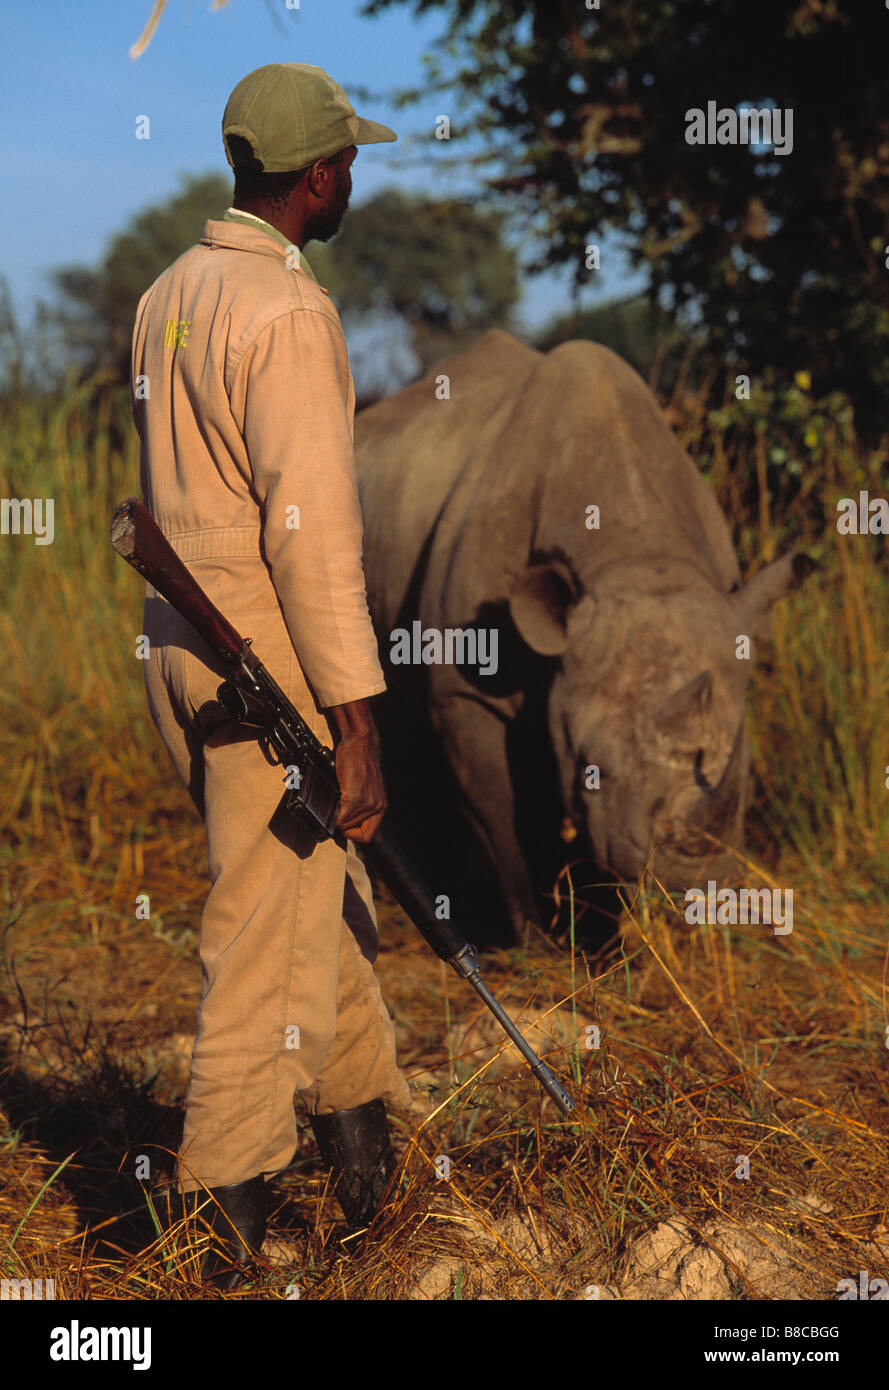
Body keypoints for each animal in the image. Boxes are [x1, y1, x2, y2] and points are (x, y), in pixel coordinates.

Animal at [354, 330, 807, 946]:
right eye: (595, 767)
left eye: (746, 771)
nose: (694, 881)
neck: (632, 553)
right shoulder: (465, 690)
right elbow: (506, 815)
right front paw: (539, 942)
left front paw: (602, 934)